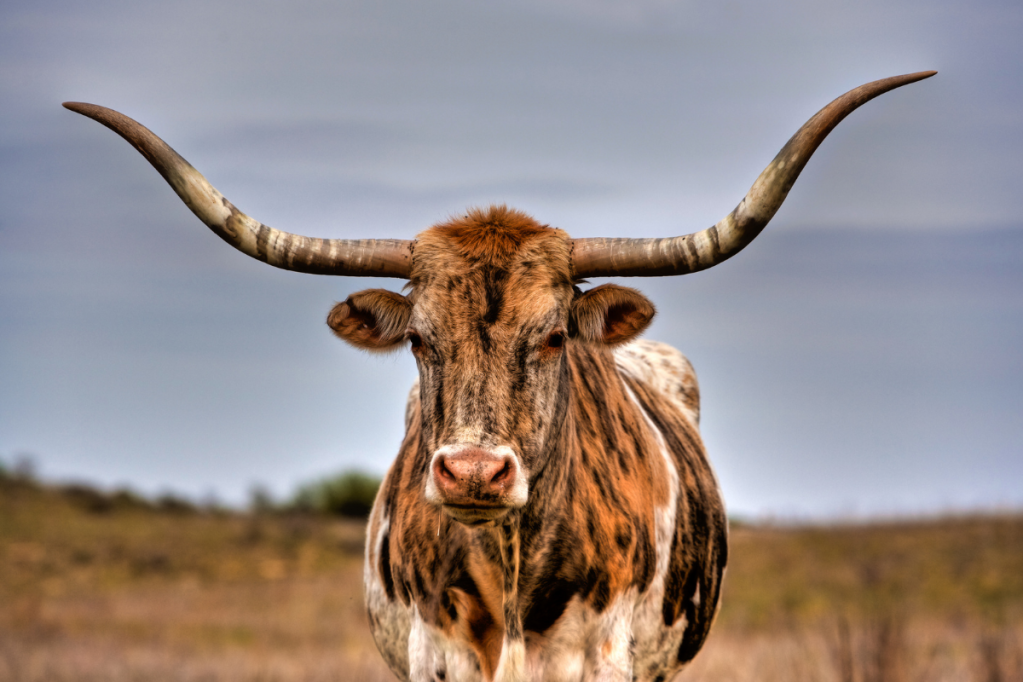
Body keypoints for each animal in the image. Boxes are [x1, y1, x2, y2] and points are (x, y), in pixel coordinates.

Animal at [64, 70, 934, 682]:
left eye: (551, 336)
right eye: (420, 340)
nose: (475, 472)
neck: (514, 575)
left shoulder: (606, 659)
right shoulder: (436, 656)